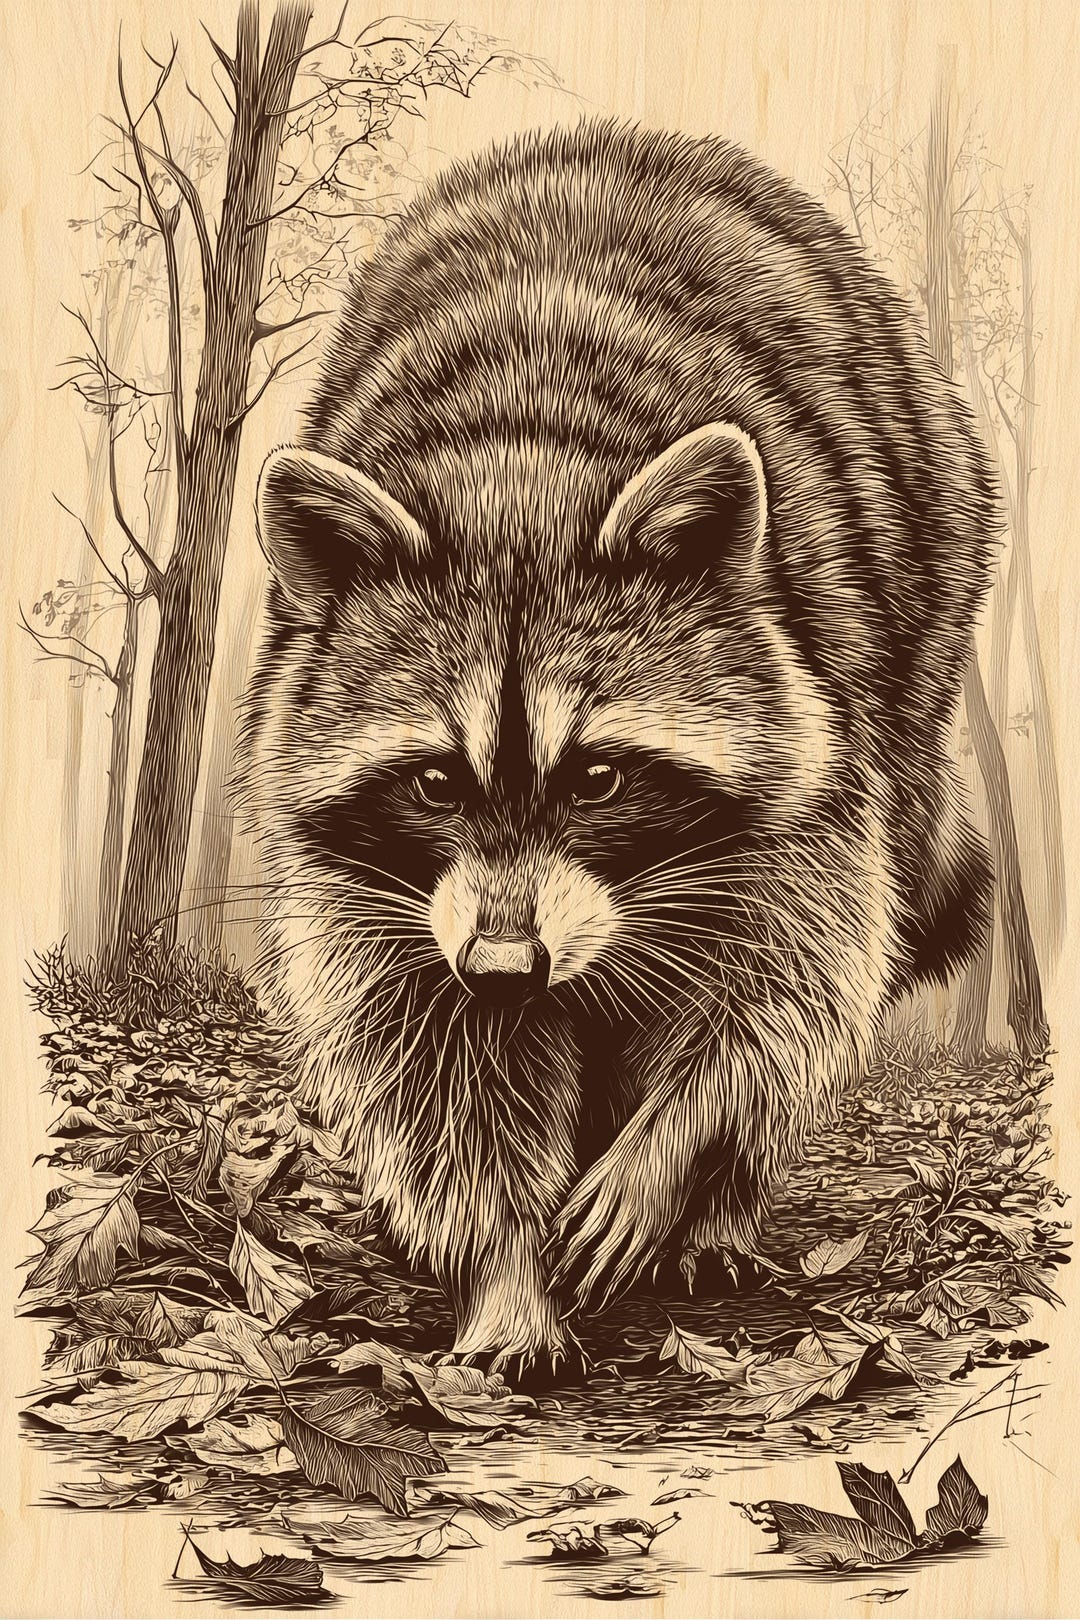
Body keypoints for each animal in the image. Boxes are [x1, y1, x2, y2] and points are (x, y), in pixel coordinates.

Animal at [241, 119, 994, 1368]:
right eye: (434, 781)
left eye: (598, 777)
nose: (507, 966)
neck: (522, 460)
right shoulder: (374, 887)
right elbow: (433, 1056)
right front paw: (504, 1268)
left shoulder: (813, 751)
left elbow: (778, 999)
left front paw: (669, 1151)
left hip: (929, 582)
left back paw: (715, 1211)